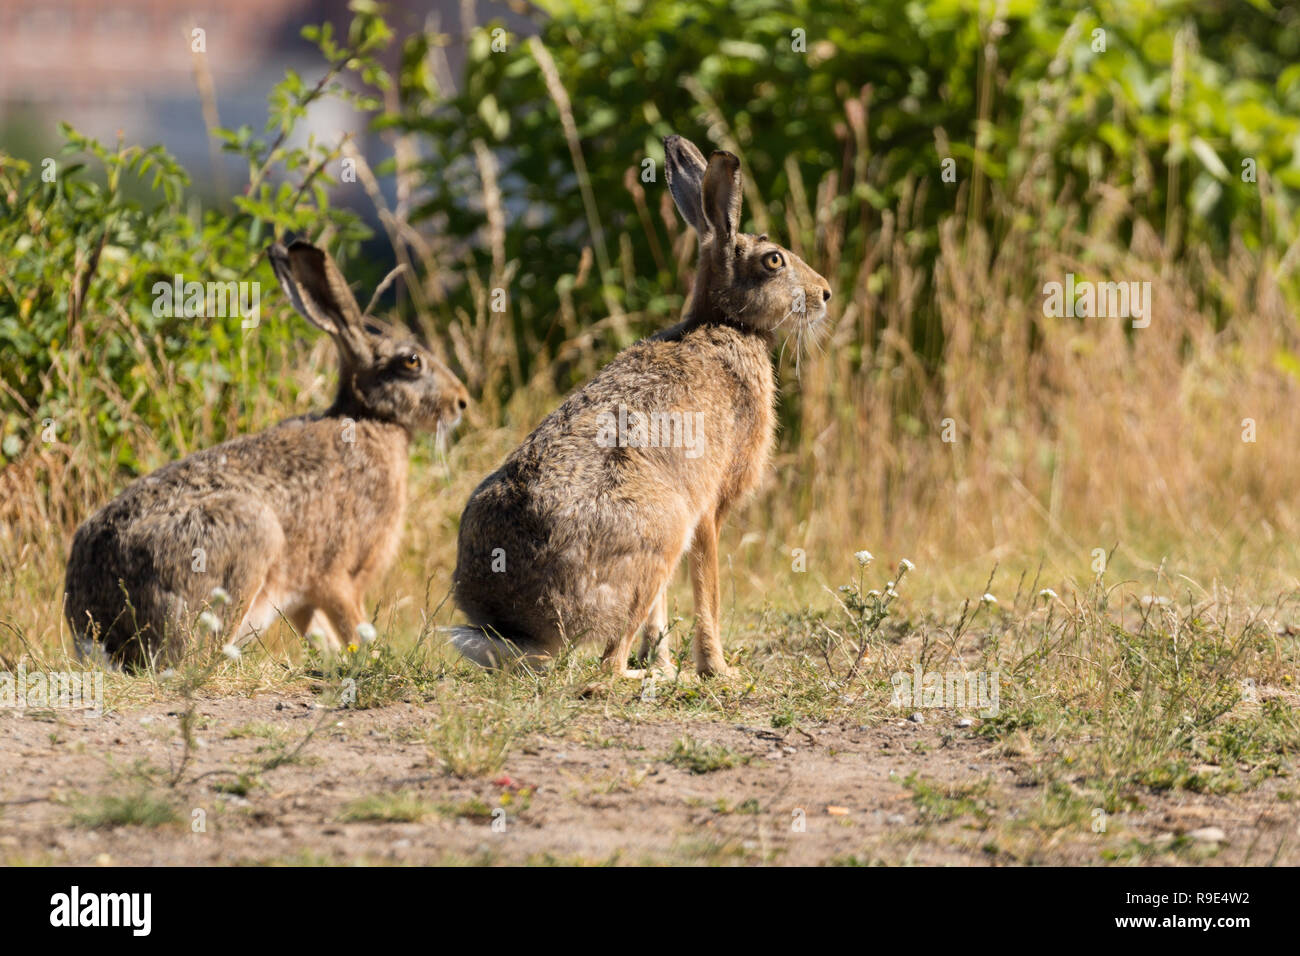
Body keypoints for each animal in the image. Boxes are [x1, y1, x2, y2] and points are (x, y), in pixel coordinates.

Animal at [64, 240, 470, 670]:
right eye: (411, 361)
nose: (461, 401)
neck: (371, 417)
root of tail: (97, 631)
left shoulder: (302, 596)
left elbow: (318, 632)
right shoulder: (335, 576)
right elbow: (353, 625)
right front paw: (371, 657)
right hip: (248, 538)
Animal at [448, 135, 831, 678]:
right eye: (774, 260)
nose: (825, 294)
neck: (725, 323)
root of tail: (523, 625)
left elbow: (664, 612)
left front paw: (668, 664)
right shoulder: (707, 510)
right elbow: (708, 593)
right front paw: (718, 672)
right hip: (663, 529)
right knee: (606, 667)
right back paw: (637, 675)